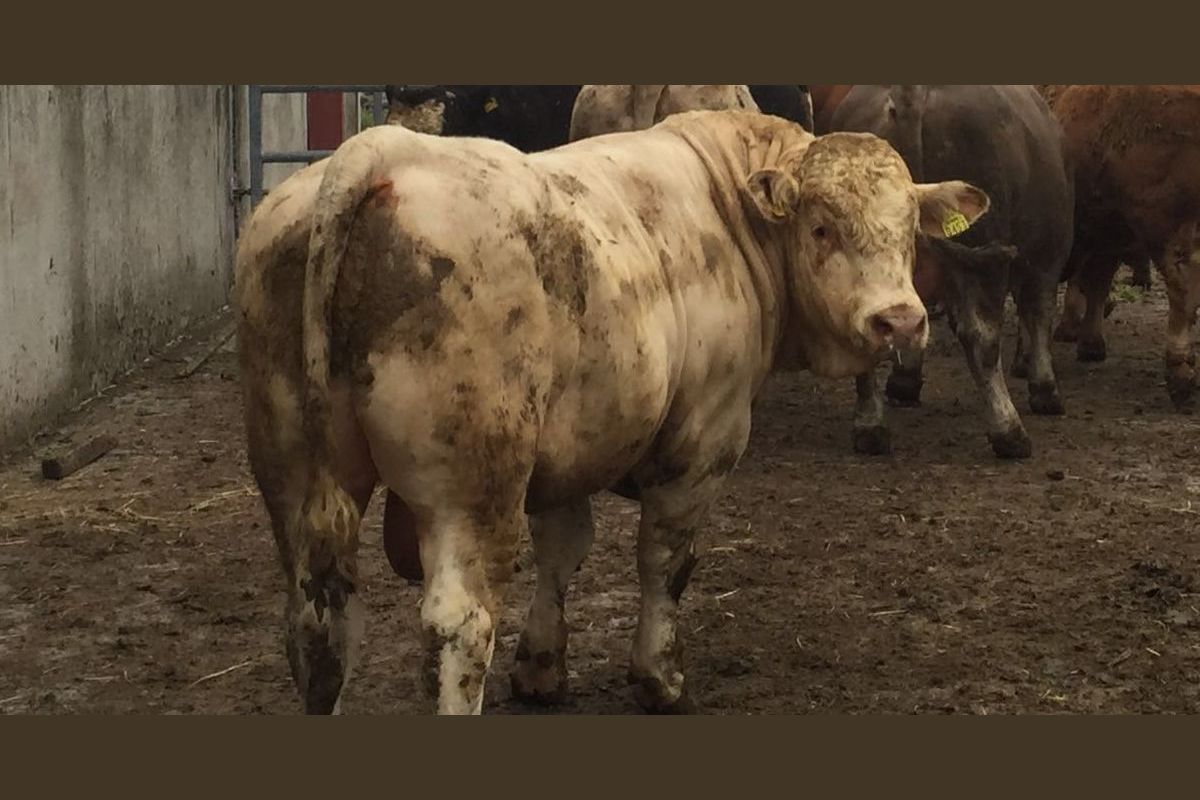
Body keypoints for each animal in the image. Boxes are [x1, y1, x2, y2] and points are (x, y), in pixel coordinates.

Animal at [234, 110, 991, 715]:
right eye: (823, 226)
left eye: (908, 230)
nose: (899, 320)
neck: (730, 213)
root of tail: (382, 152)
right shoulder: (703, 443)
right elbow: (665, 561)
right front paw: (660, 679)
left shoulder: (567, 452)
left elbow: (563, 549)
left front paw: (541, 670)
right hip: (472, 490)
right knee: (461, 625)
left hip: (295, 476)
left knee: (318, 623)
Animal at [827, 85, 1074, 459]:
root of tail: (911, 96)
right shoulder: (1046, 255)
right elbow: (1039, 313)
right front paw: (1045, 390)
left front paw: (904, 382)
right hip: (982, 258)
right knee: (982, 337)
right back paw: (1009, 431)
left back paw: (870, 426)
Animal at [1049, 85, 1200, 410]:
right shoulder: (1107, 232)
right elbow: (1096, 282)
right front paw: (1089, 341)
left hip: (1161, 226)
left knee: (1182, 287)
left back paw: (1179, 373)